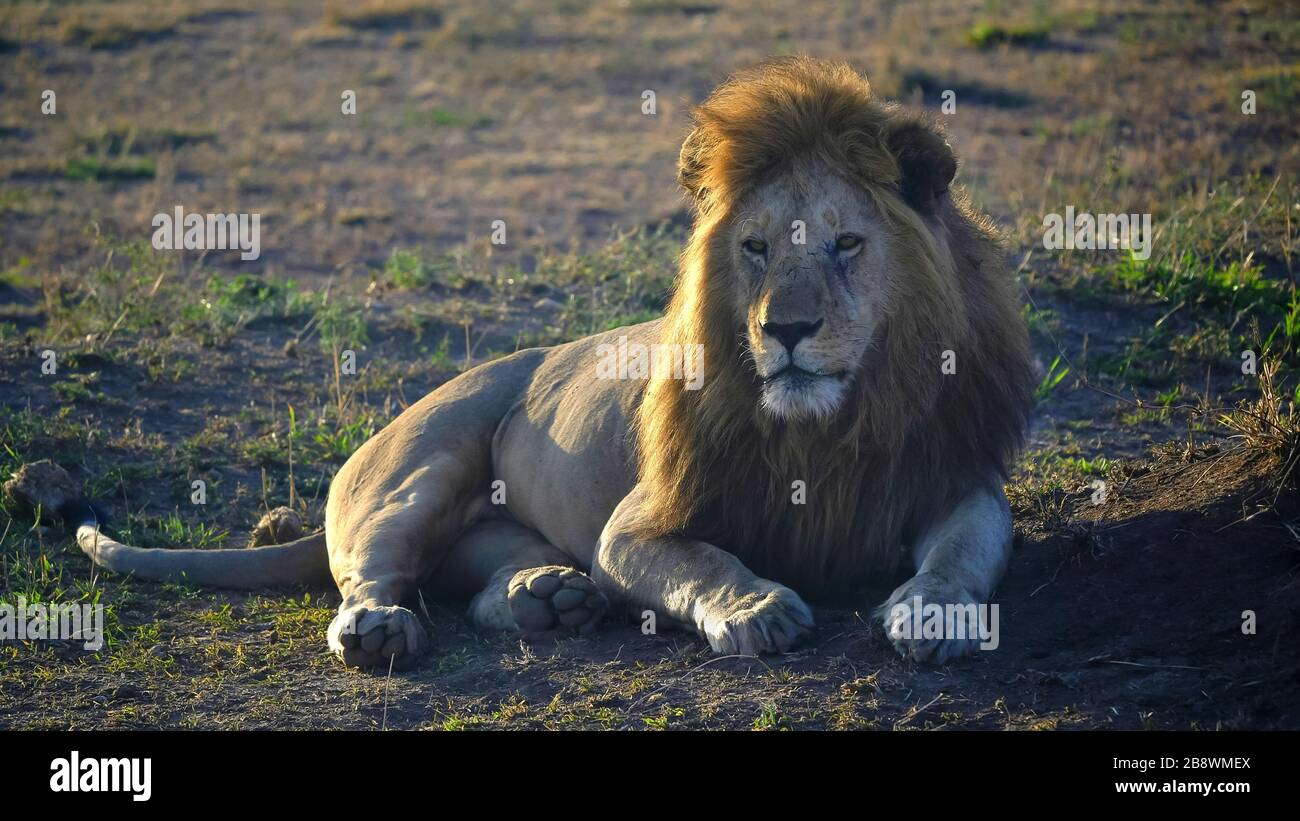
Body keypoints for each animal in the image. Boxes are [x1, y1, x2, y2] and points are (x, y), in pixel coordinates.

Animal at [21, 57, 1033, 668]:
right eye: (753, 249)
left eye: (846, 243)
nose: (785, 329)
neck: (826, 429)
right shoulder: (637, 526)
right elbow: (706, 559)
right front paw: (756, 610)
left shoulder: (958, 482)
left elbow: (960, 553)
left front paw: (931, 611)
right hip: (423, 466)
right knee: (368, 574)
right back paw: (384, 630)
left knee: (481, 589)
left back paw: (549, 601)